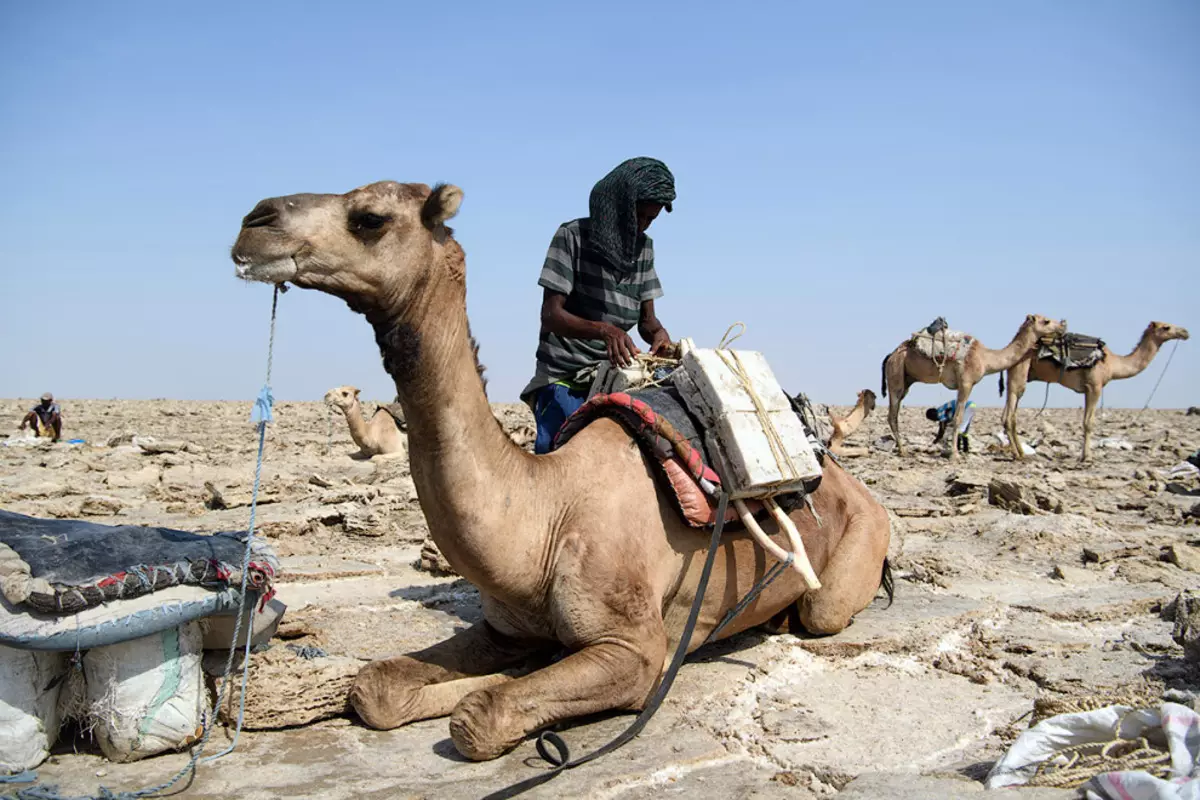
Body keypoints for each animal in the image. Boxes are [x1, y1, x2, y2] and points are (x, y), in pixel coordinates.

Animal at [231, 179, 892, 762]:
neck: (543, 518)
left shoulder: (635, 650)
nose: (253, 222)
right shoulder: (505, 628)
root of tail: (844, 476)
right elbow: (377, 687)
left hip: (860, 543)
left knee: (823, 610)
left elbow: (481, 715)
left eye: (369, 217)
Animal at [878, 316, 1065, 460]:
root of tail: (891, 355)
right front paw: (954, 454)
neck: (985, 358)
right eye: (1046, 321)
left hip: (907, 379)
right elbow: (958, 418)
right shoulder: (966, 383)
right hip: (896, 374)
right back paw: (903, 451)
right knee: (892, 415)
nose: (1063, 324)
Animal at [998, 321, 1185, 462]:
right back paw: (1018, 454)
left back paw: (1020, 452)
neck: (1113, 363)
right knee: (1010, 416)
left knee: (1006, 414)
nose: (1185, 332)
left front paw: (1085, 456)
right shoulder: (1094, 386)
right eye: (1166, 327)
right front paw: (1087, 457)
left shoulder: (1089, 389)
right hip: (1020, 370)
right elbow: (1089, 423)